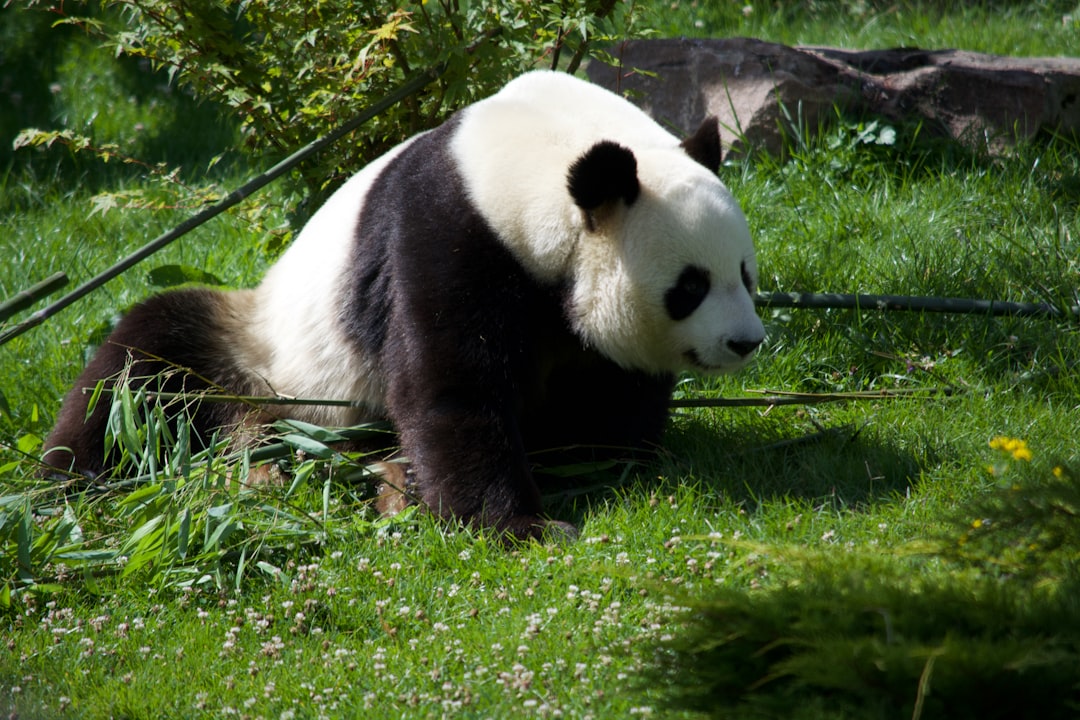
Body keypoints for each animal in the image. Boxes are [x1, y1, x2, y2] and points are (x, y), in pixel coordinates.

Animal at [42, 70, 765, 541]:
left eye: (746, 274)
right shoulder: (446, 230)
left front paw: (595, 458)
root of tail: (259, 431)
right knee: (143, 363)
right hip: (260, 354)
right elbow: (450, 384)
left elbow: (609, 396)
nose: (746, 342)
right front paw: (518, 523)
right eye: (690, 286)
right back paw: (71, 481)